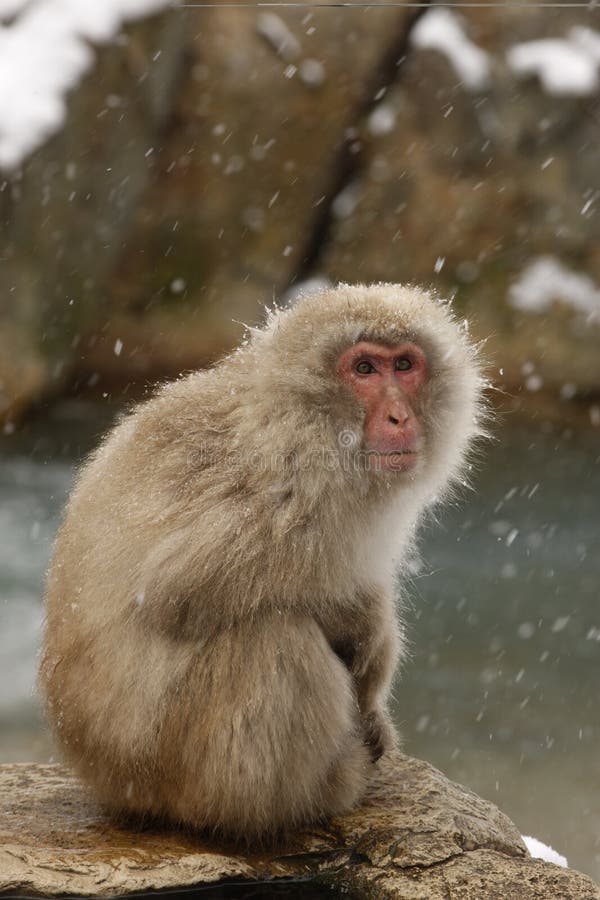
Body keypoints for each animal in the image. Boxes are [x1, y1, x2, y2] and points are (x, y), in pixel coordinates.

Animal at [39, 283, 484, 843]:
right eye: (364, 369)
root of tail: (97, 773)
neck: (305, 421)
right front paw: (364, 631)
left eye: (404, 365)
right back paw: (311, 798)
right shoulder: (287, 487)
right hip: (159, 763)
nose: (399, 417)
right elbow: (179, 589)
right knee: (276, 639)